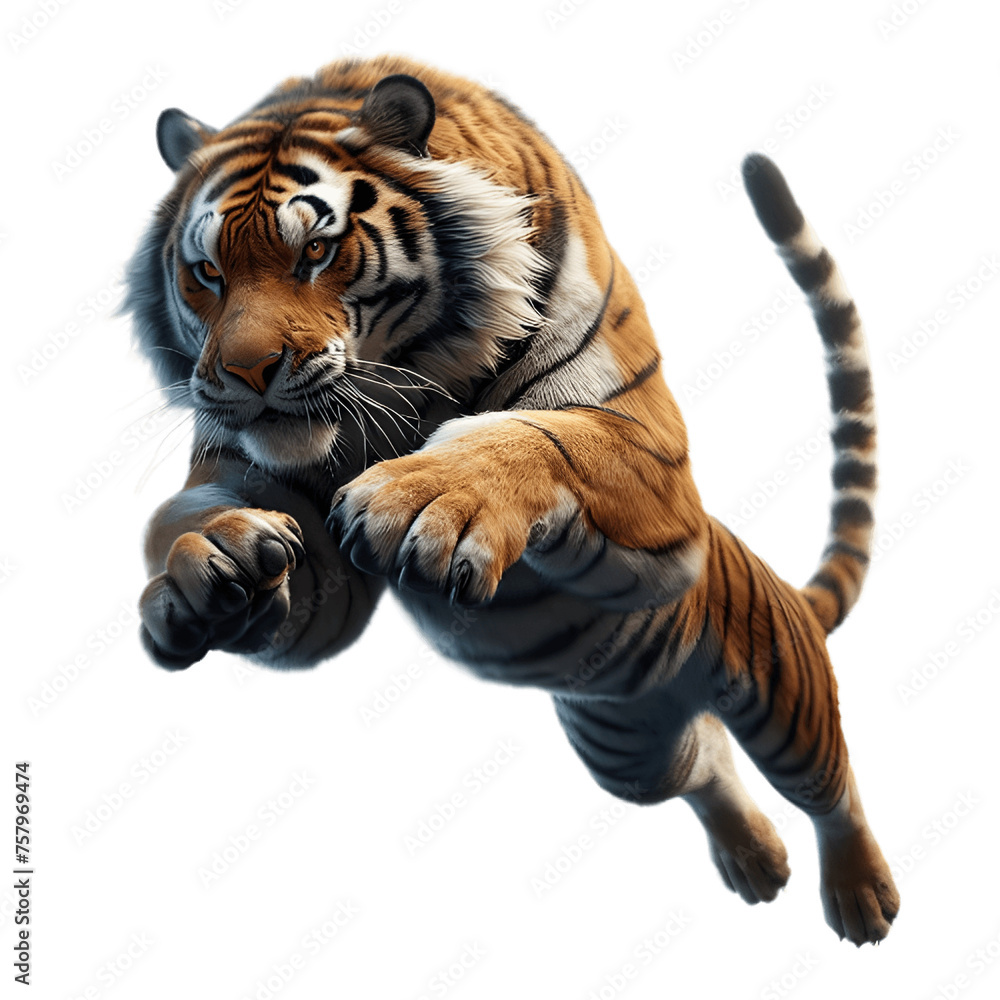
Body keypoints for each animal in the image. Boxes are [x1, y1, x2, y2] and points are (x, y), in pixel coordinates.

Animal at [126, 54, 899, 945]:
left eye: (316, 250)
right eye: (207, 272)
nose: (246, 374)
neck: (401, 389)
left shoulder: (651, 457)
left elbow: (534, 435)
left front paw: (425, 498)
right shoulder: (313, 565)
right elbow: (187, 523)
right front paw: (209, 567)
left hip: (783, 697)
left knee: (832, 788)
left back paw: (863, 898)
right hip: (623, 743)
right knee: (702, 764)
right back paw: (756, 863)